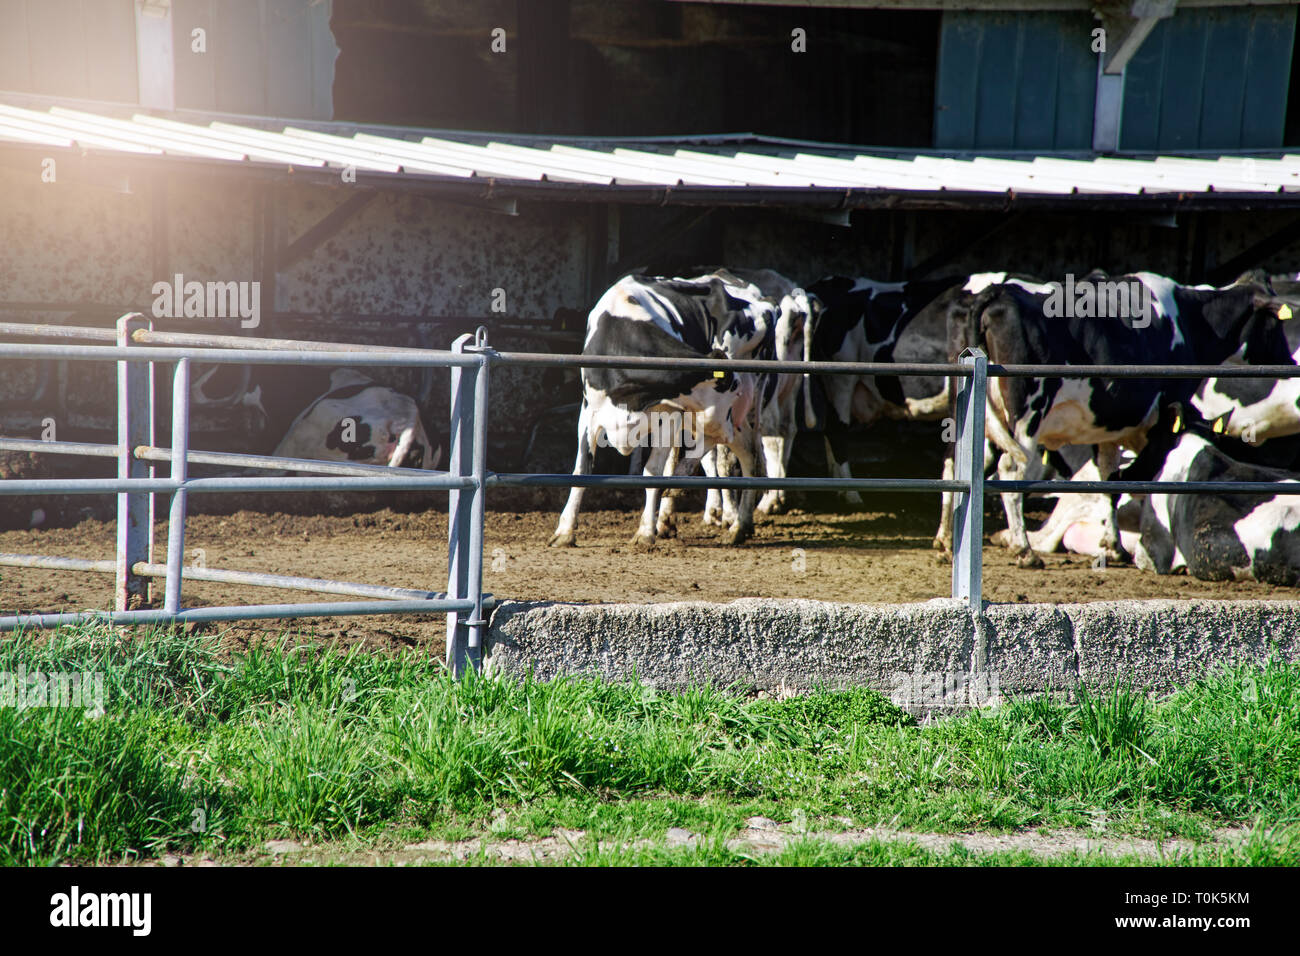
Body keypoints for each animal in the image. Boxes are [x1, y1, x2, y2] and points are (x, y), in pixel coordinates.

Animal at [548, 273, 770, 549]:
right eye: (734, 388)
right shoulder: (589, 412)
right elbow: (581, 471)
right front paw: (565, 531)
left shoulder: (670, 417)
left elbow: (653, 472)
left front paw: (645, 532)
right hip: (713, 419)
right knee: (739, 452)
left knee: (733, 453)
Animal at [935, 271, 1298, 568]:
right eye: (1276, 325)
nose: (1288, 362)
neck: (1189, 321)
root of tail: (996, 292)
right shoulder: (1165, 415)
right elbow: (1130, 474)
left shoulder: (1108, 429)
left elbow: (1108, 480)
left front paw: (1113, 546)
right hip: (1026, 413)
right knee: (1010, 470)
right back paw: (1023, 550)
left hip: (968, 409)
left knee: (954, 464)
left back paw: (945, 543)